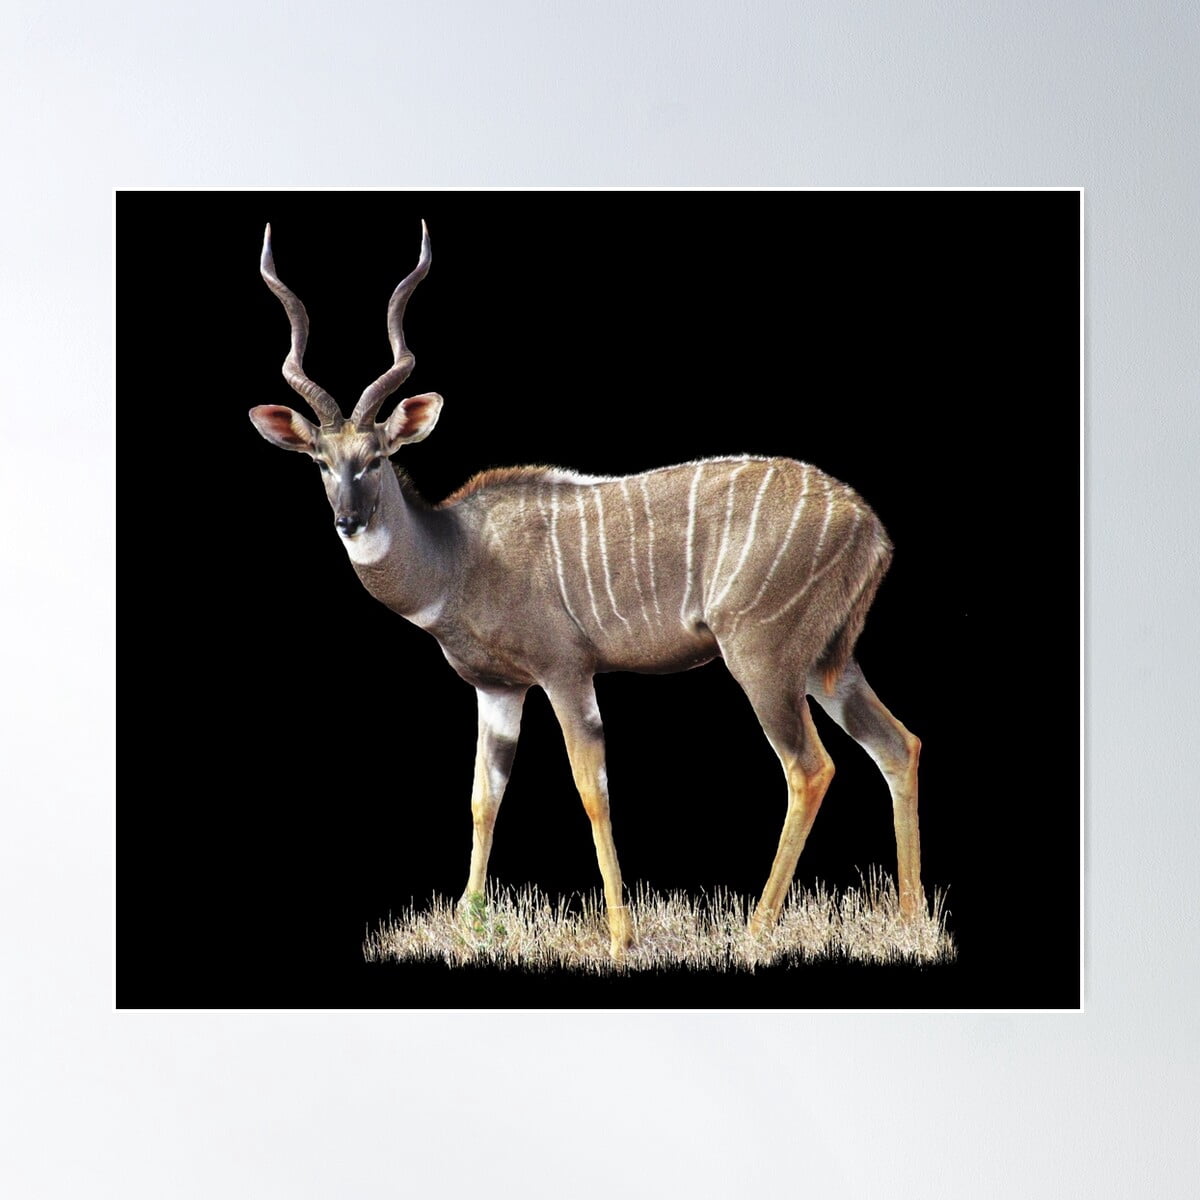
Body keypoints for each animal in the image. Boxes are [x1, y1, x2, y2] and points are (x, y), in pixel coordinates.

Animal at [249, 221, 925, 958]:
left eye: (375, 458)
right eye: (320, 461)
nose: (347, 520)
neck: (458, 557)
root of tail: (872, 529)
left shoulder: (565, 671)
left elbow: (591, 787)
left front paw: (620, 935)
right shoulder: (498, 688)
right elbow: (484, 797)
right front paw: (468, 923)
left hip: (763, 658)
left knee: (809, 768)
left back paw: (755, 930)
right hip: (827, 660)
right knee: (898, 746)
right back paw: (910, 920)